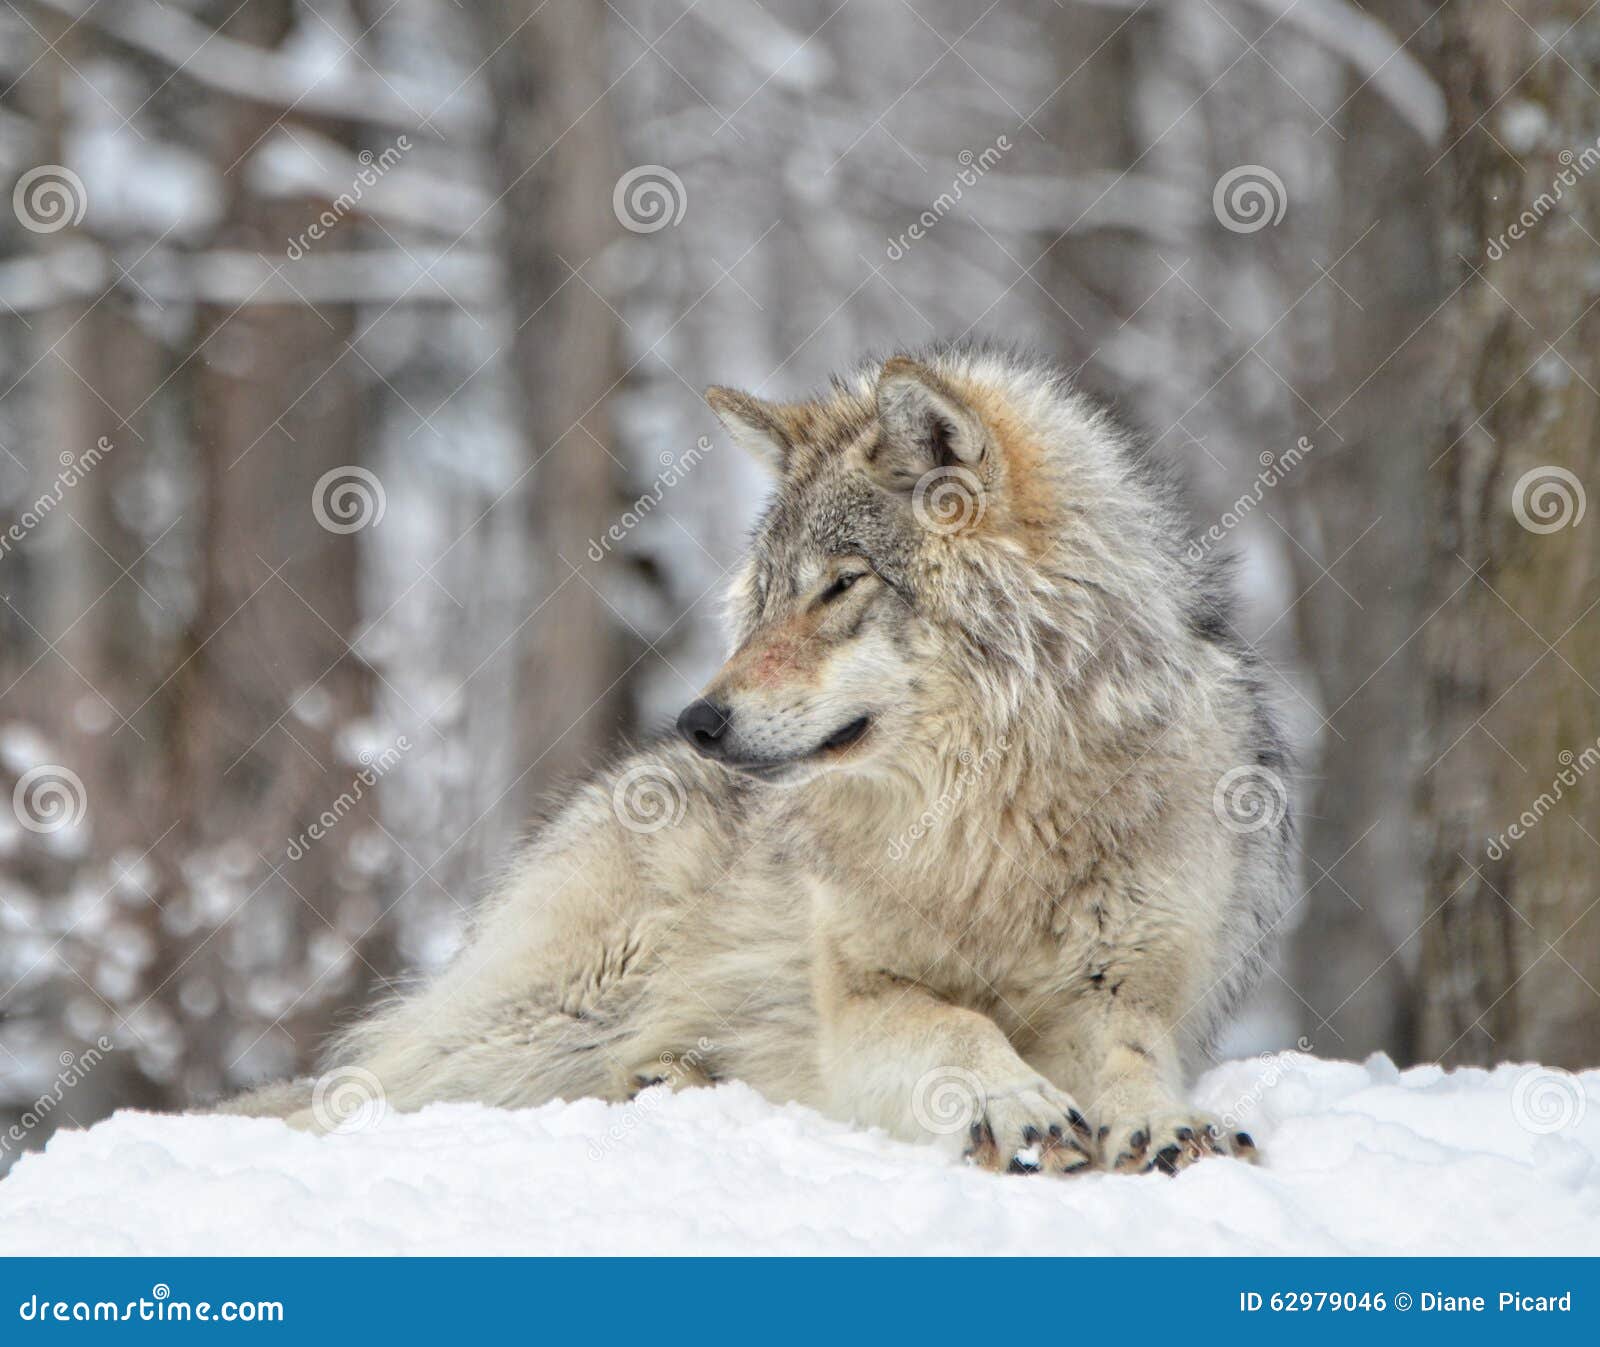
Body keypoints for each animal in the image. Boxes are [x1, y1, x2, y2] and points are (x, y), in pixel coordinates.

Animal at [226, 344, 1294, 1176]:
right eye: (771, 592)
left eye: (842, 586)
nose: (698, 719)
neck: (980, 819)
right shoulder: (862, 999)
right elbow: (957, 1025)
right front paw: (1015, 1103)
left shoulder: (1128, 989)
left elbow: (1131, 1057)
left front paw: (1167, 1122)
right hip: (553, 1017)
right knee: (362, 1087)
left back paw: (673, 1075)